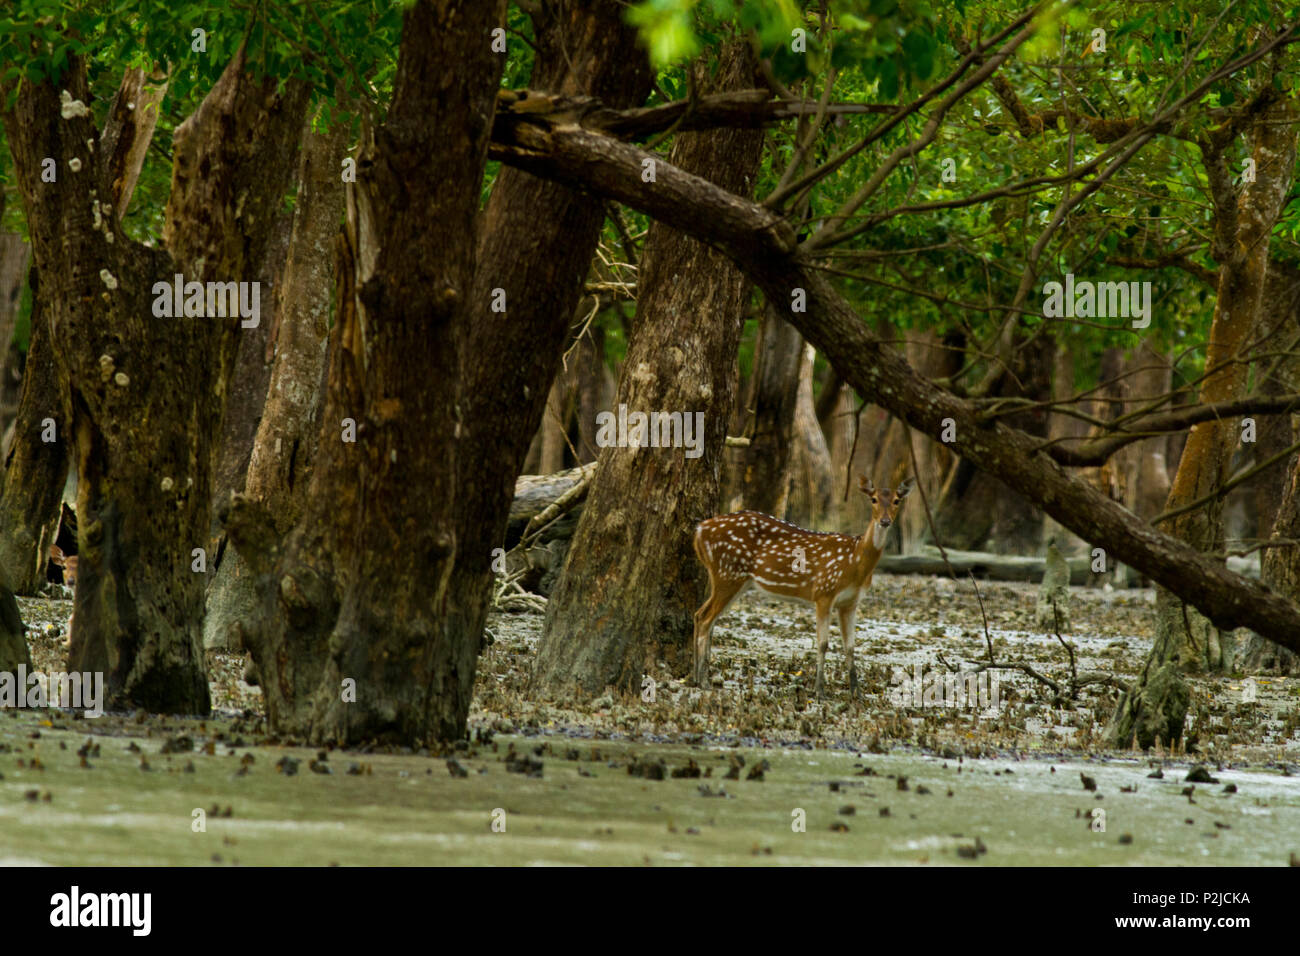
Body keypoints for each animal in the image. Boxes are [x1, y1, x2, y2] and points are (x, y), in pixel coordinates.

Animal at [692, 475, 914, 698]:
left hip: (736, 580)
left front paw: (856, 693)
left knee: (703, 617)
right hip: (728, 572)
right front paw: (820, 690)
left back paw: (699, 677)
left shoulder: (850, 602)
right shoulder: (824, 591)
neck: (855, 562)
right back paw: (703, 681)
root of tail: (700, 531)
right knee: (705, 617)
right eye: (873, 499)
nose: (885, 521)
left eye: (896, 500)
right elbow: (823, 644)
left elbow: (850, 647)